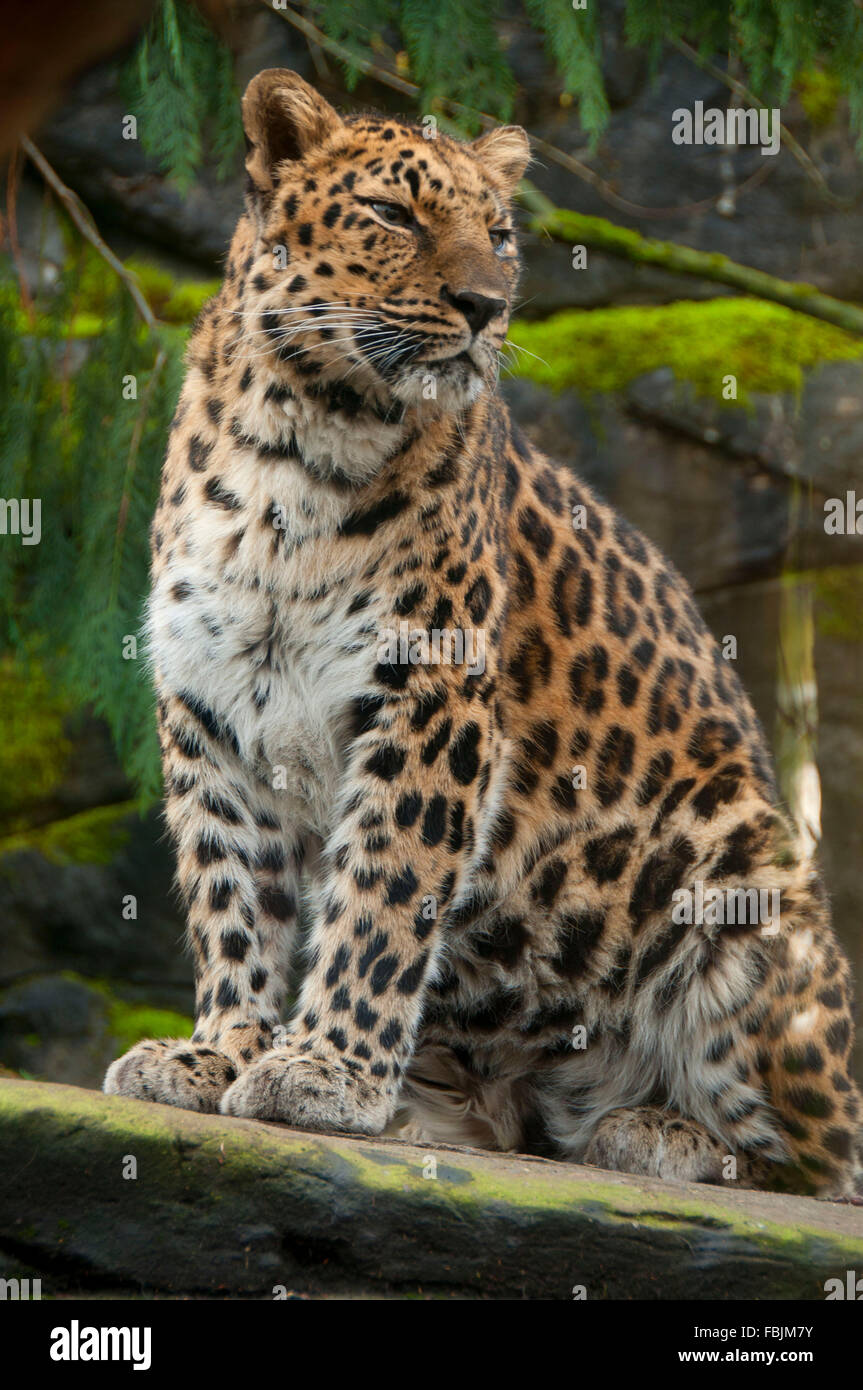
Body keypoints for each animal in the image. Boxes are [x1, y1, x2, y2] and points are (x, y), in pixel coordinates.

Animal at [104, 68, 863, 1198]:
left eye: (497, 234)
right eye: (391, 214)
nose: (484, 307)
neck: (294, 443)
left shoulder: (430, 697)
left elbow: (382, 895)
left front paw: (324, 1070)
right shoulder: (209, 704)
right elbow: (235, 898)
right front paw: (220, 1052)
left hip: (747, 871)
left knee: (819, 1165)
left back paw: (661, 1132)